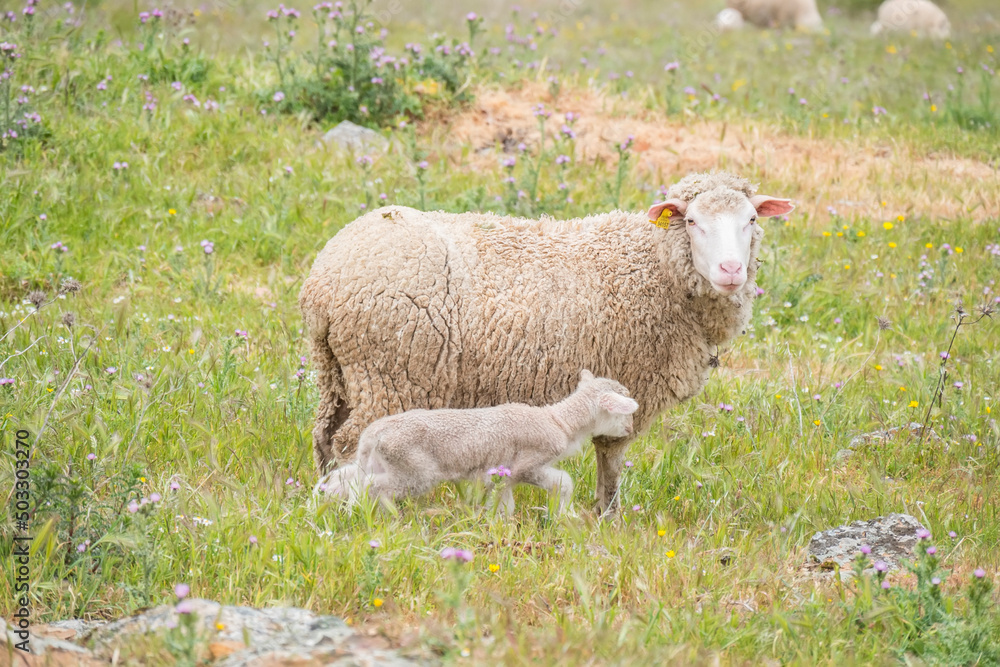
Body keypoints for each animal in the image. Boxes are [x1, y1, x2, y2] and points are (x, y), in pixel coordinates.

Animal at [315, 370, 639, 514]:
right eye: (626, 411)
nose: (630, 429)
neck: (559, 421)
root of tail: (374, 434)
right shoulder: (528, 464)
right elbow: (564, 482)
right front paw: (565, 514)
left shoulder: (500, 474)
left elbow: (504, 501)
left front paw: (502, 524)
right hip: (414, 470)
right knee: (368, 487)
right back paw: (359, 512)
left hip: (375, 461)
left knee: (342, 478)